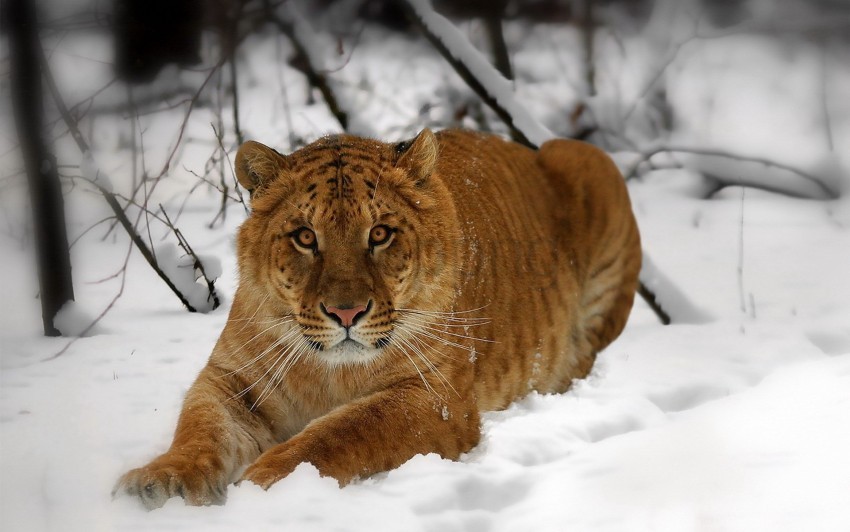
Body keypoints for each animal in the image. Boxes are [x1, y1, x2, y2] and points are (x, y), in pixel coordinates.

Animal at [114, 128, 641, 509]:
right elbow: (201, 427)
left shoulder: (435, 398)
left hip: (586, 160)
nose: (346, 312)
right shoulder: (232, 378)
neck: (325, 372)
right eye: (305, 237)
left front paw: (265, 484)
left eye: (381, 234)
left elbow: (338, 433)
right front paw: (159, 480)